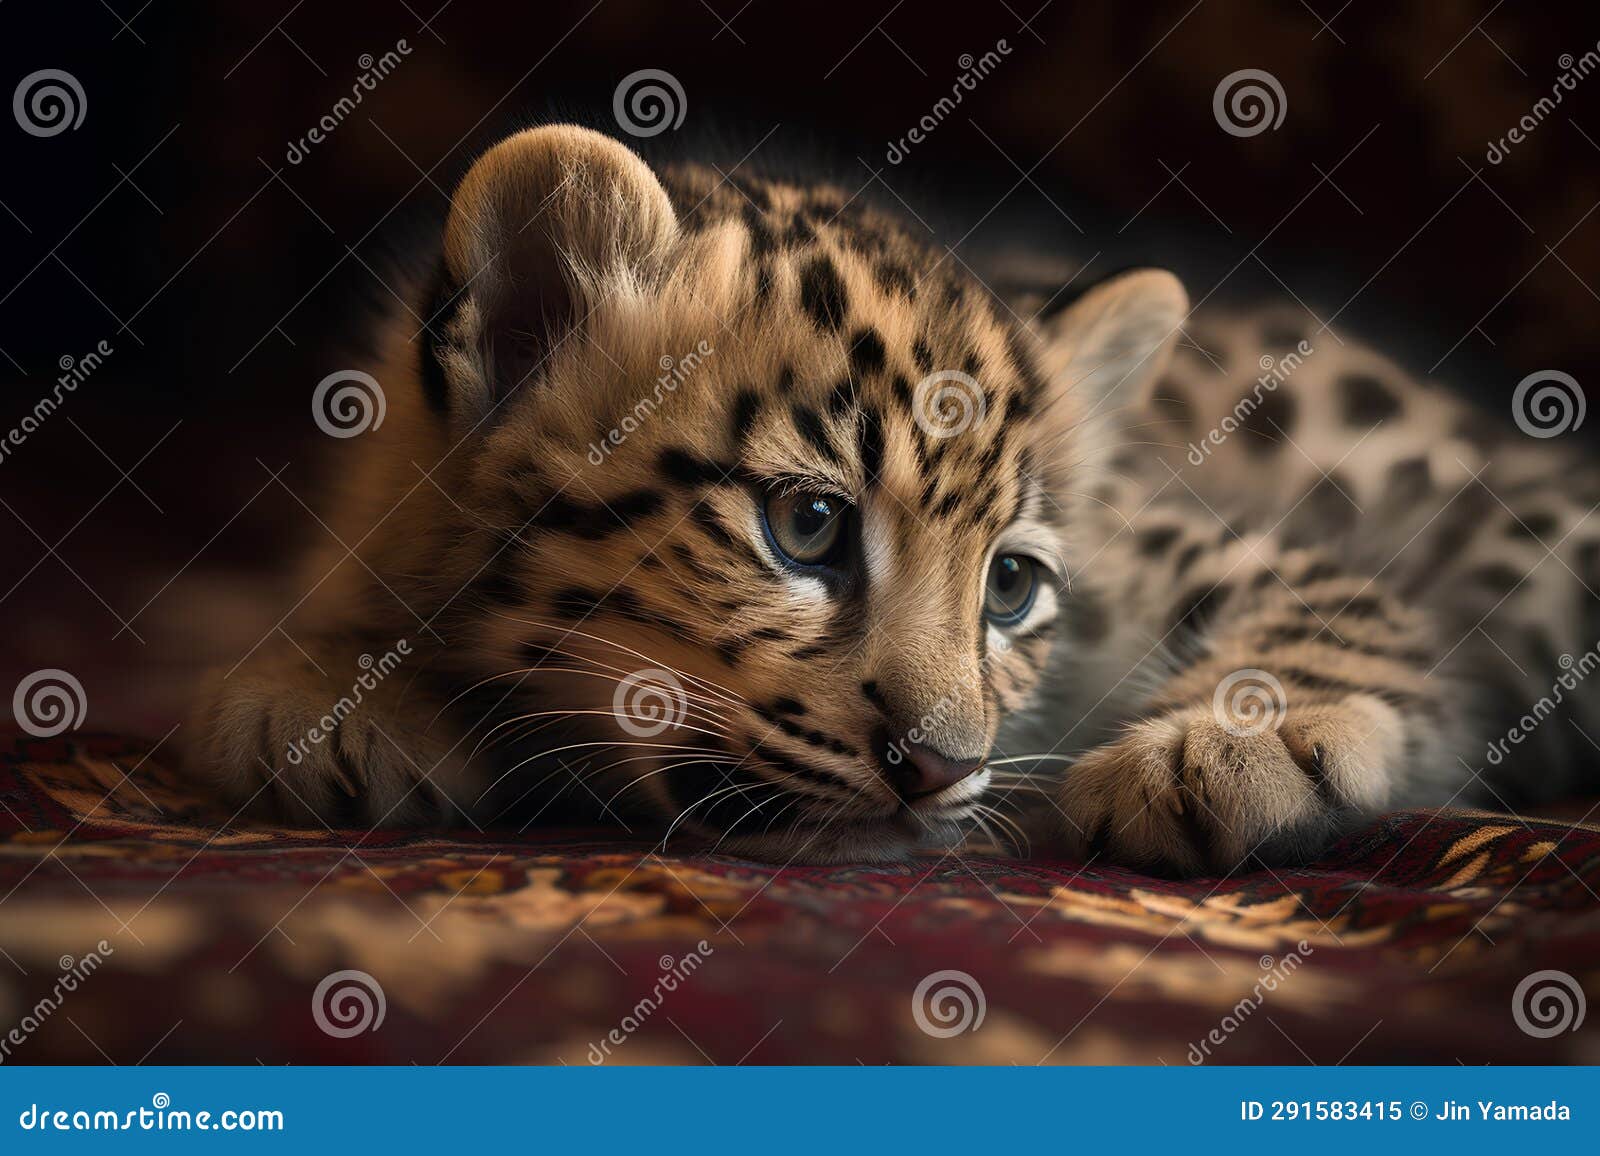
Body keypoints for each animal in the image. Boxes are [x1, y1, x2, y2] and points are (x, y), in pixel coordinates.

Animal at [187, 122, 1600, 875]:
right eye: (805, 525)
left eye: (1011, 583)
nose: (944, 766)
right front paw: (328, 695)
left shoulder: (1229, 555)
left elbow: (1344, 610)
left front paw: (1226, 749)